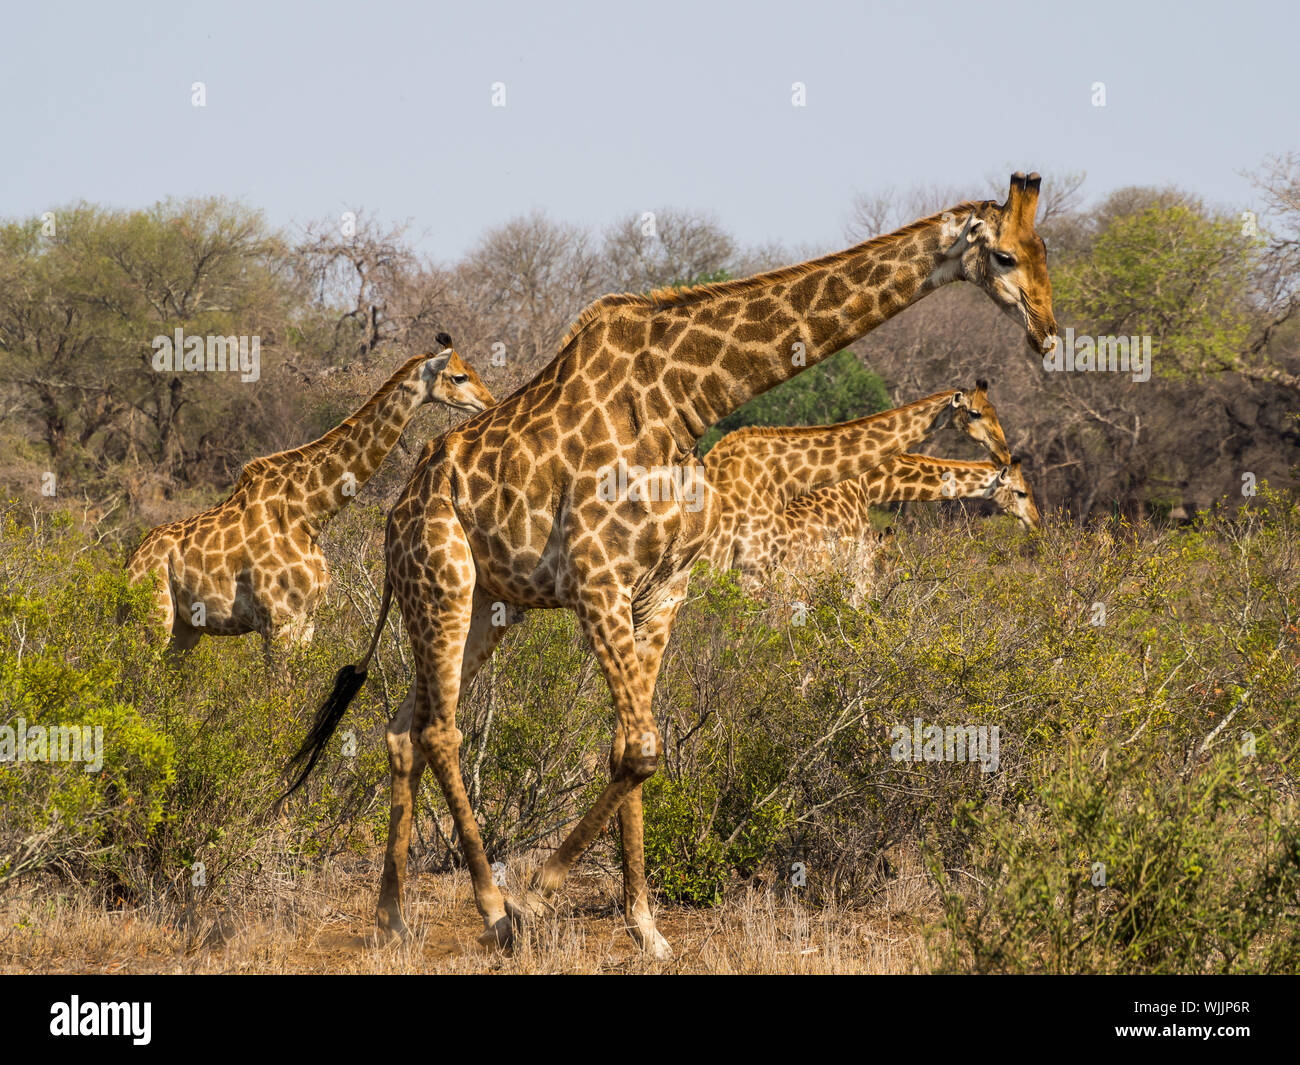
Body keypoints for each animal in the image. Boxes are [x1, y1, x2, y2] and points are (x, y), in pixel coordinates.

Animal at [126, 336, 494, 660]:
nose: (489, 403)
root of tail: (130, 563)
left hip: (185, 629)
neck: (309, 514)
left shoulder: (306, 623)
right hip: (151, 622)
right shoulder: (278, 622)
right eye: (459, 376)